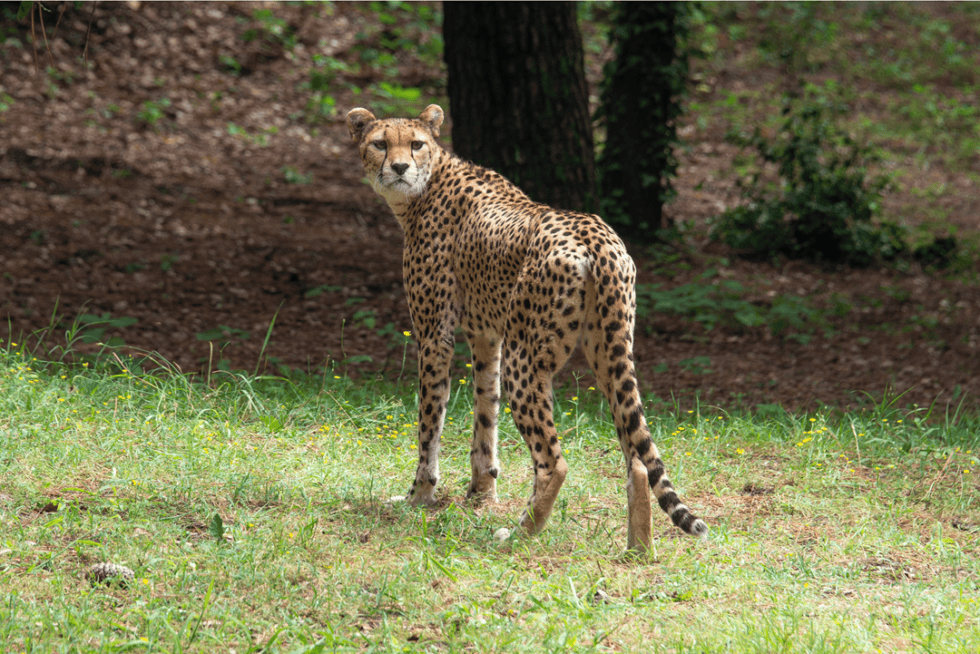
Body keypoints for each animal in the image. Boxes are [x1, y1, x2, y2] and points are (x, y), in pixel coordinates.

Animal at [346, 104, 707, 552]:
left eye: (416, 144)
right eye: (380, 143)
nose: (398, 167)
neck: (425, 189)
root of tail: (595, 232)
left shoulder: (435, 336)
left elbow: (429, 424)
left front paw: (419, 496)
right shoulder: (487, 338)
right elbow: (485, 413)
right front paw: (480, 492)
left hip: (528, 359)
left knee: (554, 461)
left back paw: (519, 534)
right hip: (607, 351)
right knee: (637, 460)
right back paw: (637, 551)